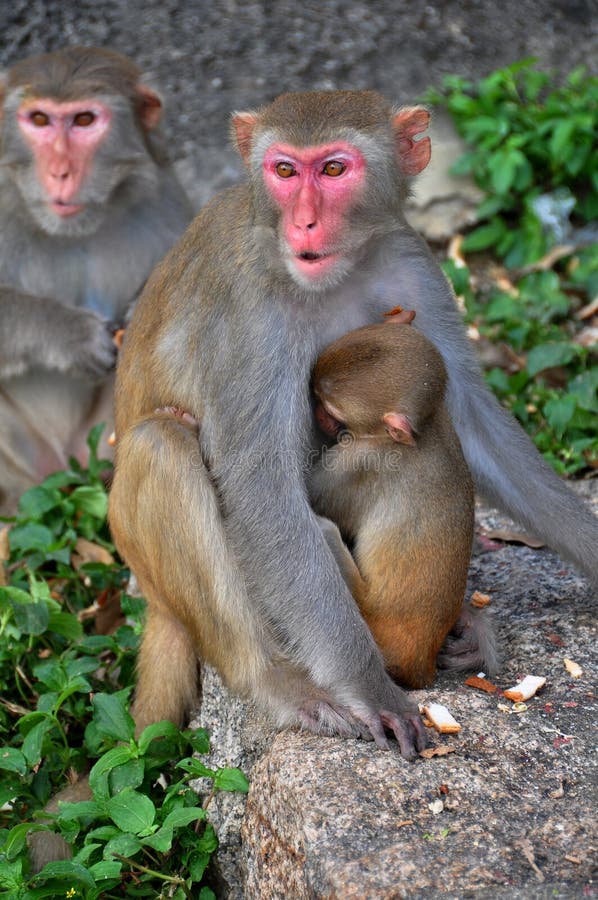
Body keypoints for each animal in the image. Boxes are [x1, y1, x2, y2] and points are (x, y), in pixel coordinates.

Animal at [309, 317, 498, 687]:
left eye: (330, 407)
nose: (318, 414)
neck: (424, 428)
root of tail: (420, 664)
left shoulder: (359, 461)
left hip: (369, 616)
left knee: (324, 531)